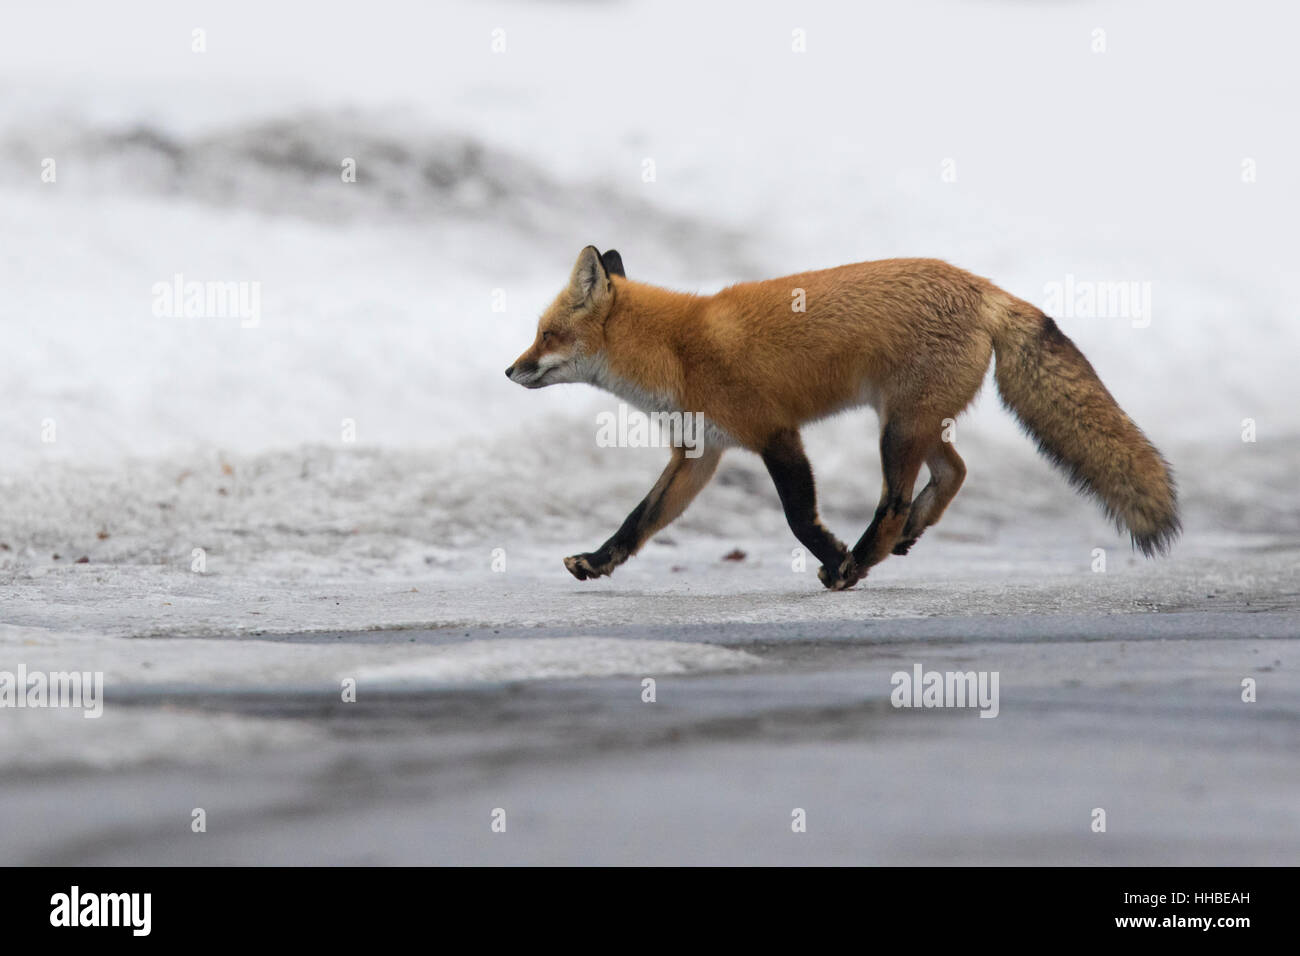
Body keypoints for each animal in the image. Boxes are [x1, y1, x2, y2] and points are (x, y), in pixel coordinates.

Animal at [506, 247, 1179, 590]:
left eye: (546, 335)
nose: (510, 370)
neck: (676, 350)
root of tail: (981, 285)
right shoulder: (699, 454)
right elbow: (638, 520)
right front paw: (597, 562)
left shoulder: (775, 434)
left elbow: (799, 516)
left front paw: (831, 554)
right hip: (912, 422)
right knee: (954, 474)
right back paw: (899, 540)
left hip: (897, 429)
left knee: (896, 502)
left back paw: (856, 562)